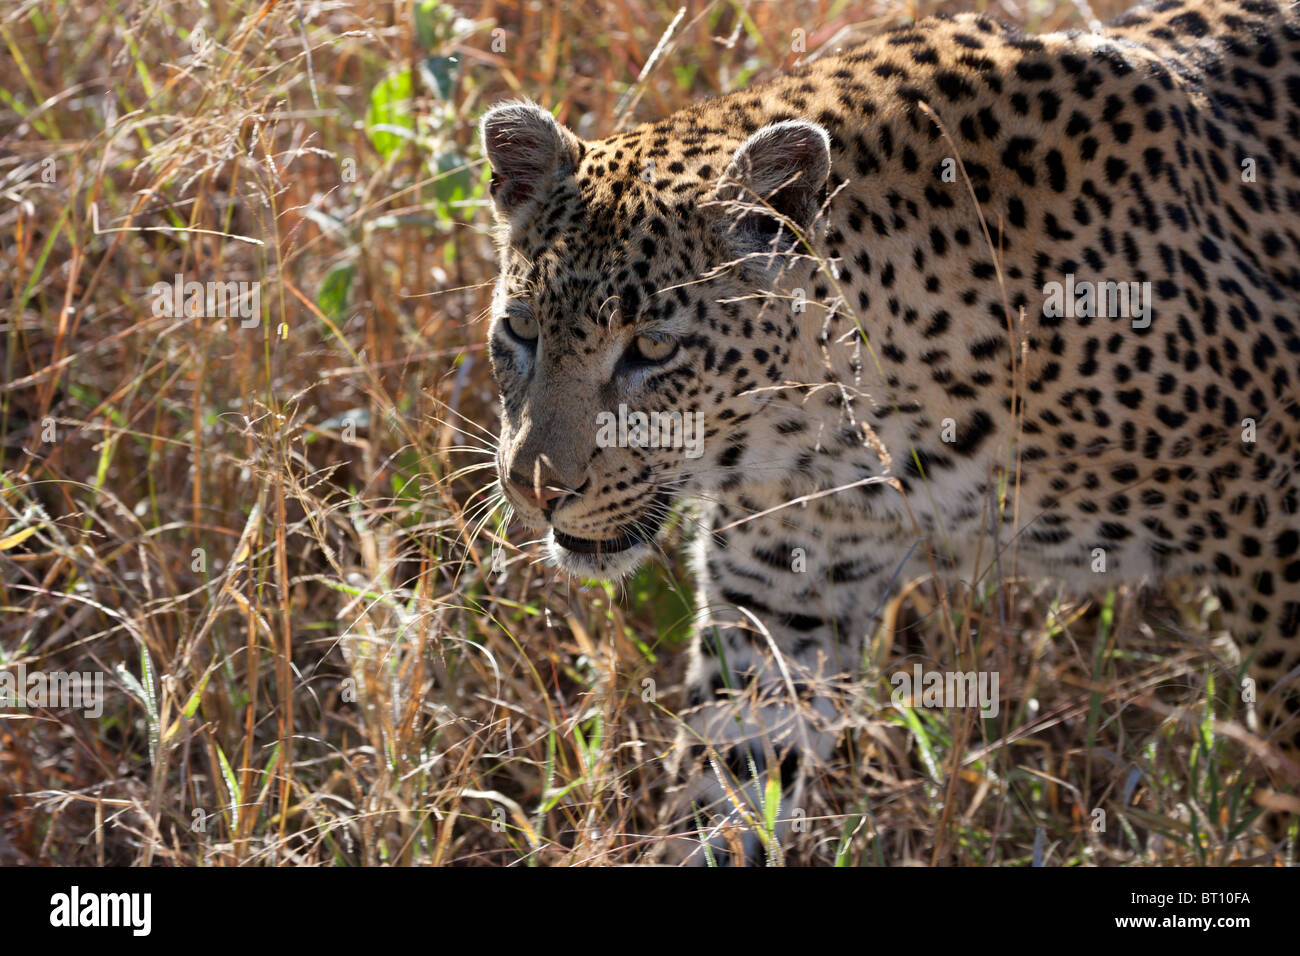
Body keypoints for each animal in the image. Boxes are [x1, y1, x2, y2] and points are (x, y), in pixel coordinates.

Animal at [479, 0, 1300, 864]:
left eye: (654, 348)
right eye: (521, 331)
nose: (533, 488)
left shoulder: (1273, 517)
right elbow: (731, 781)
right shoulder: (785, 593)